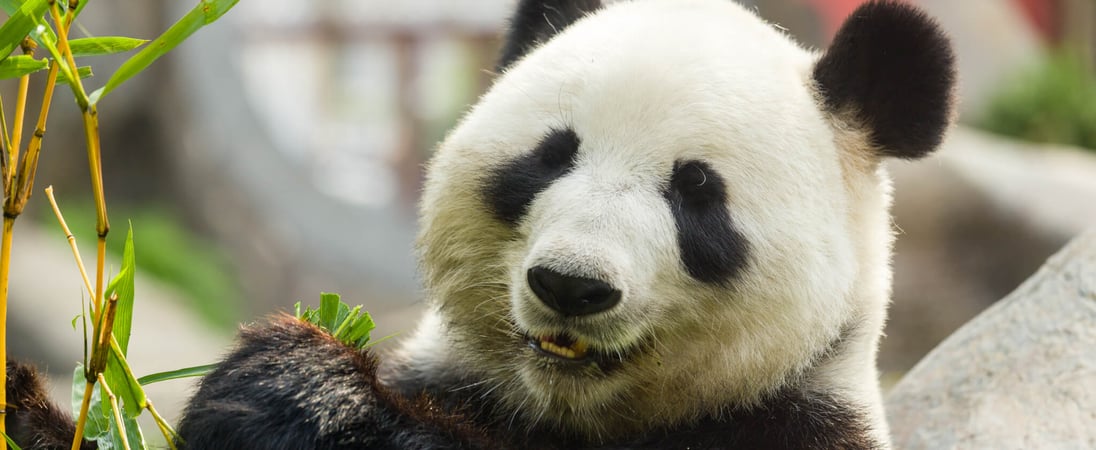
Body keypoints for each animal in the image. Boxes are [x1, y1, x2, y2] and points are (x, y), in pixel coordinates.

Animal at [5, 0, 954, 448]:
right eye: (552, 155)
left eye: (696, 193)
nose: (572, 285)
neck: (570, 413)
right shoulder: (455, 382)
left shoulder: (783, 429)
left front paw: (297, 390)